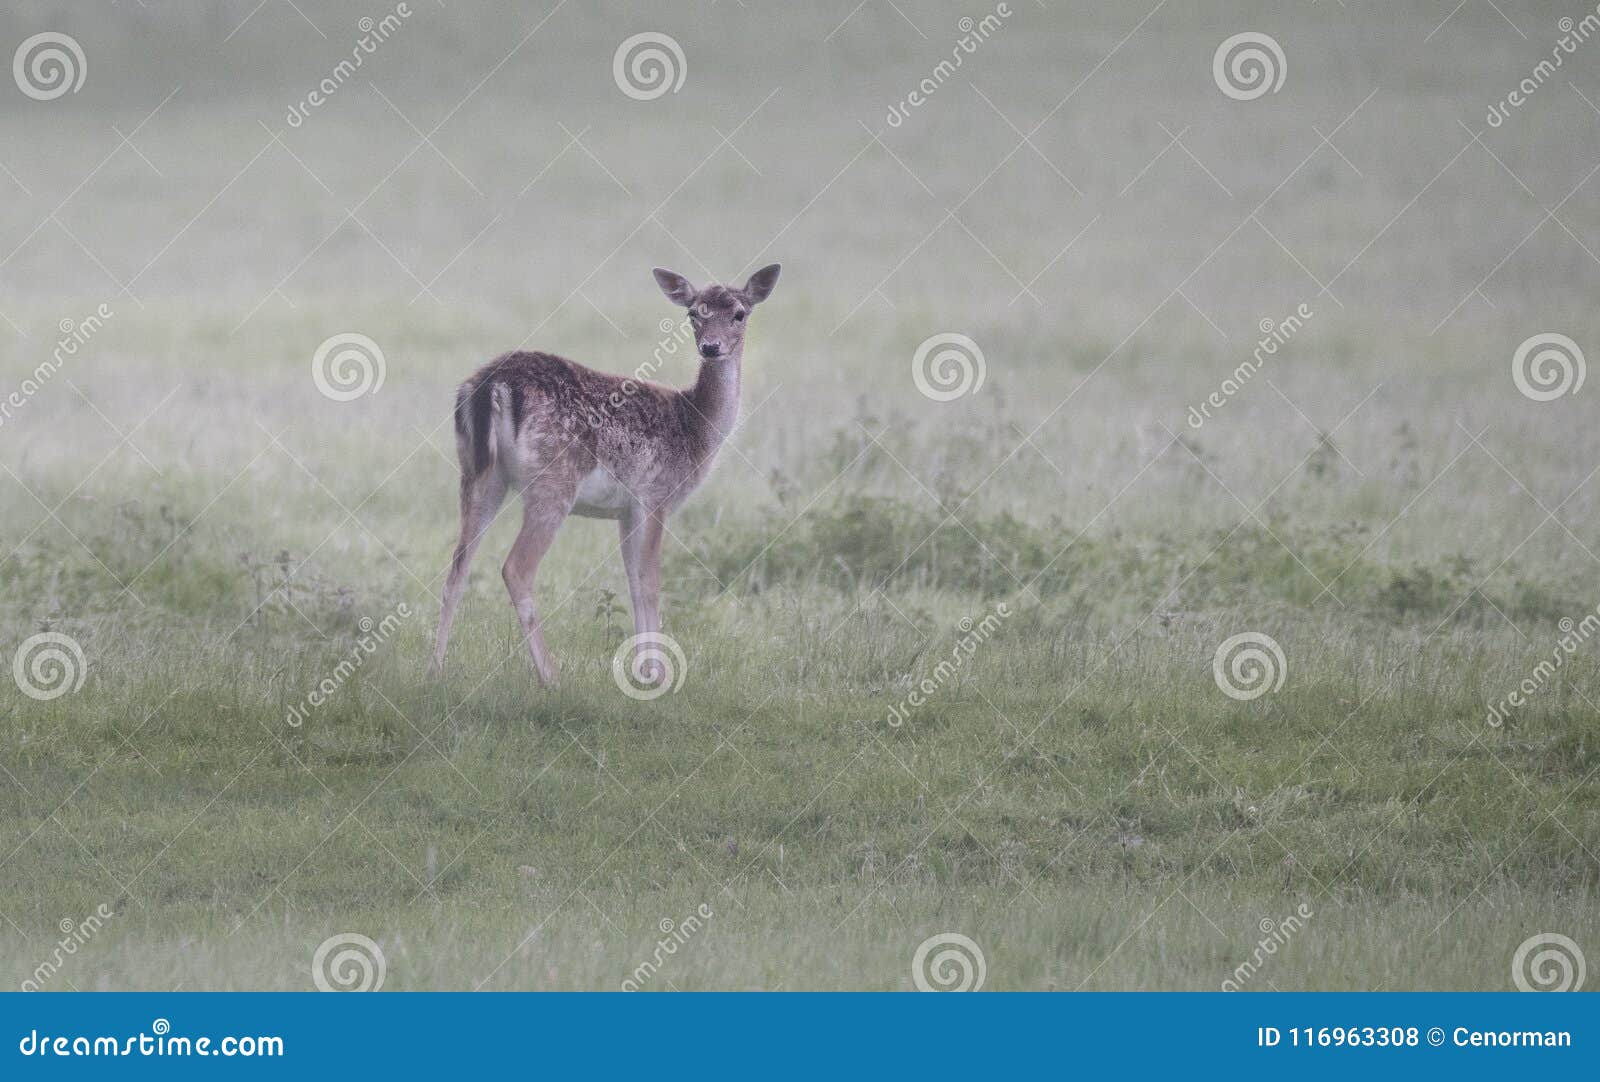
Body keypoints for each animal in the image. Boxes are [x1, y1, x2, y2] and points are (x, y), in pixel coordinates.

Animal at [429, 264, 781, 687]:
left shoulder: (625, 511)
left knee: (457, 568)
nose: (711, 347)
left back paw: (433, 670)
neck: (696, 428)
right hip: (553, 481)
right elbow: (649, 581)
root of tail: (491, 385)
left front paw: (643, 671)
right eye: (694, 313)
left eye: (739, 313)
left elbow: (632, 581)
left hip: (477, 473)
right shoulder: (655, 494)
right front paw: (658, 676)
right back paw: (552, 677)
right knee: (516, 568)